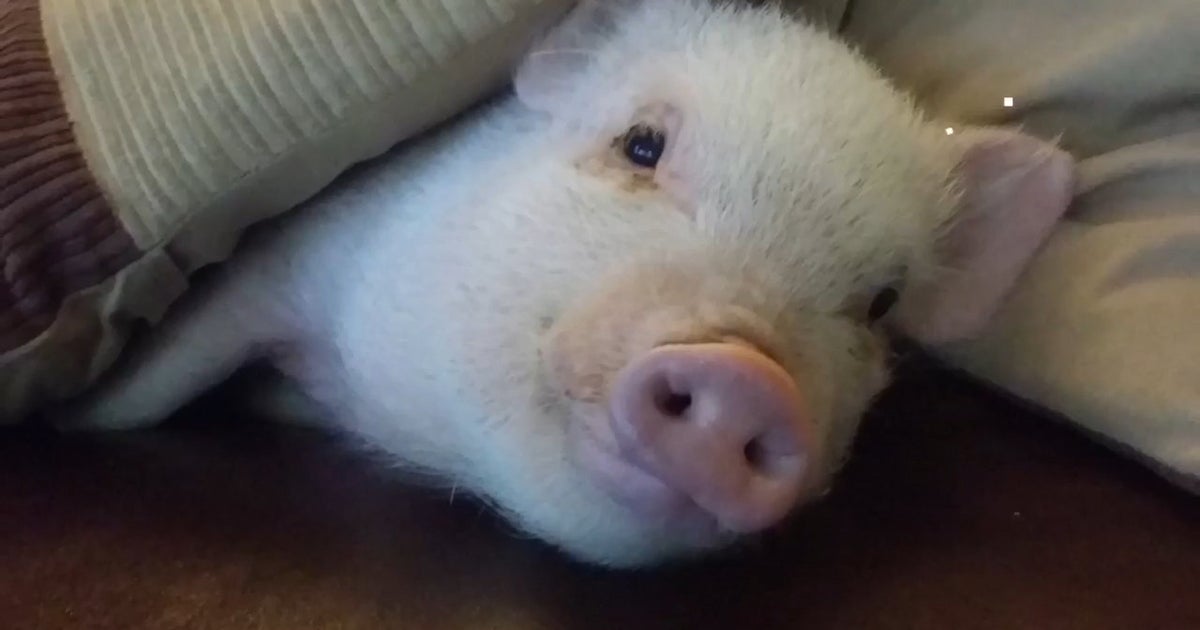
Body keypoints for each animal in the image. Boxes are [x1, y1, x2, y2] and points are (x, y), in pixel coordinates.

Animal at [48, 0, 1076, 568]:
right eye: (641, 144)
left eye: (881, 303)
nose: (745, 374)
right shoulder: (288, 251)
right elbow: (152, 386)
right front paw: (76, 423)